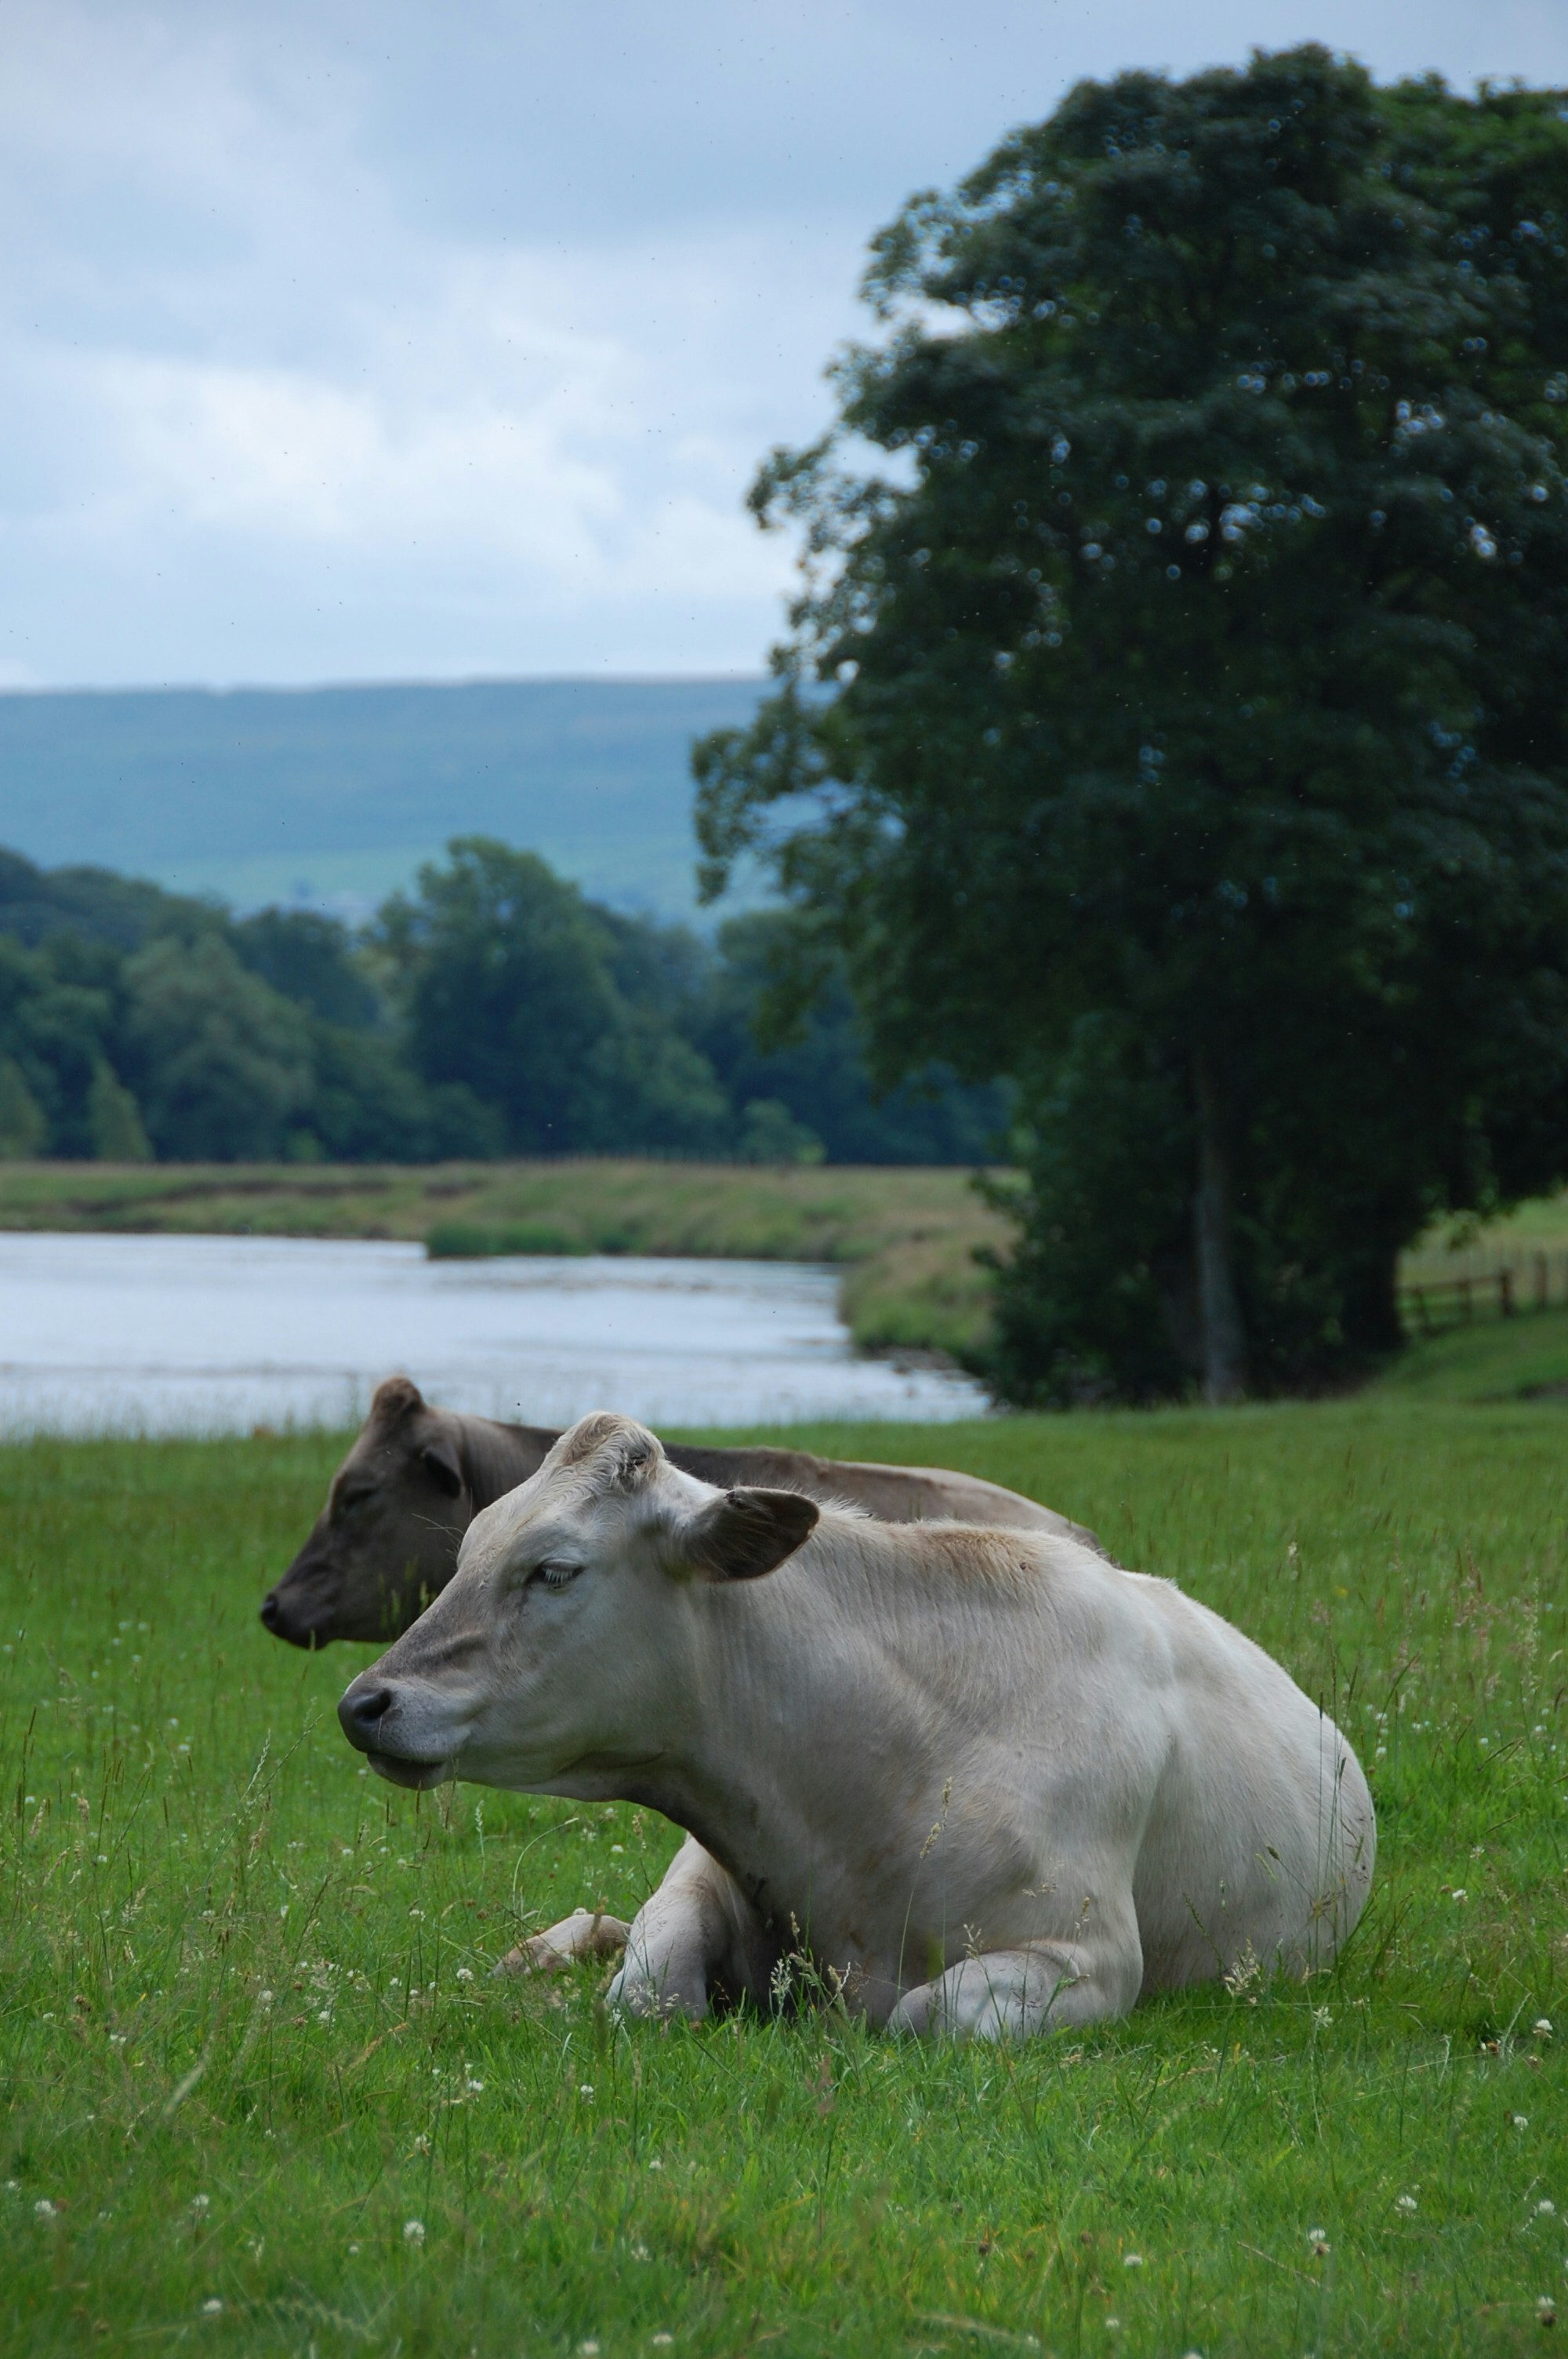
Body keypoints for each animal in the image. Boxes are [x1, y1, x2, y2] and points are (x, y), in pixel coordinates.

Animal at [336, 1412, 1375, 2042]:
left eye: (553, 1568)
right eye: (466, 1550)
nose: (363, 1703)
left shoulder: (1086, 1957)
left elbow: (923, 2013)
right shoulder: (700, 1873)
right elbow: (644, 1988)